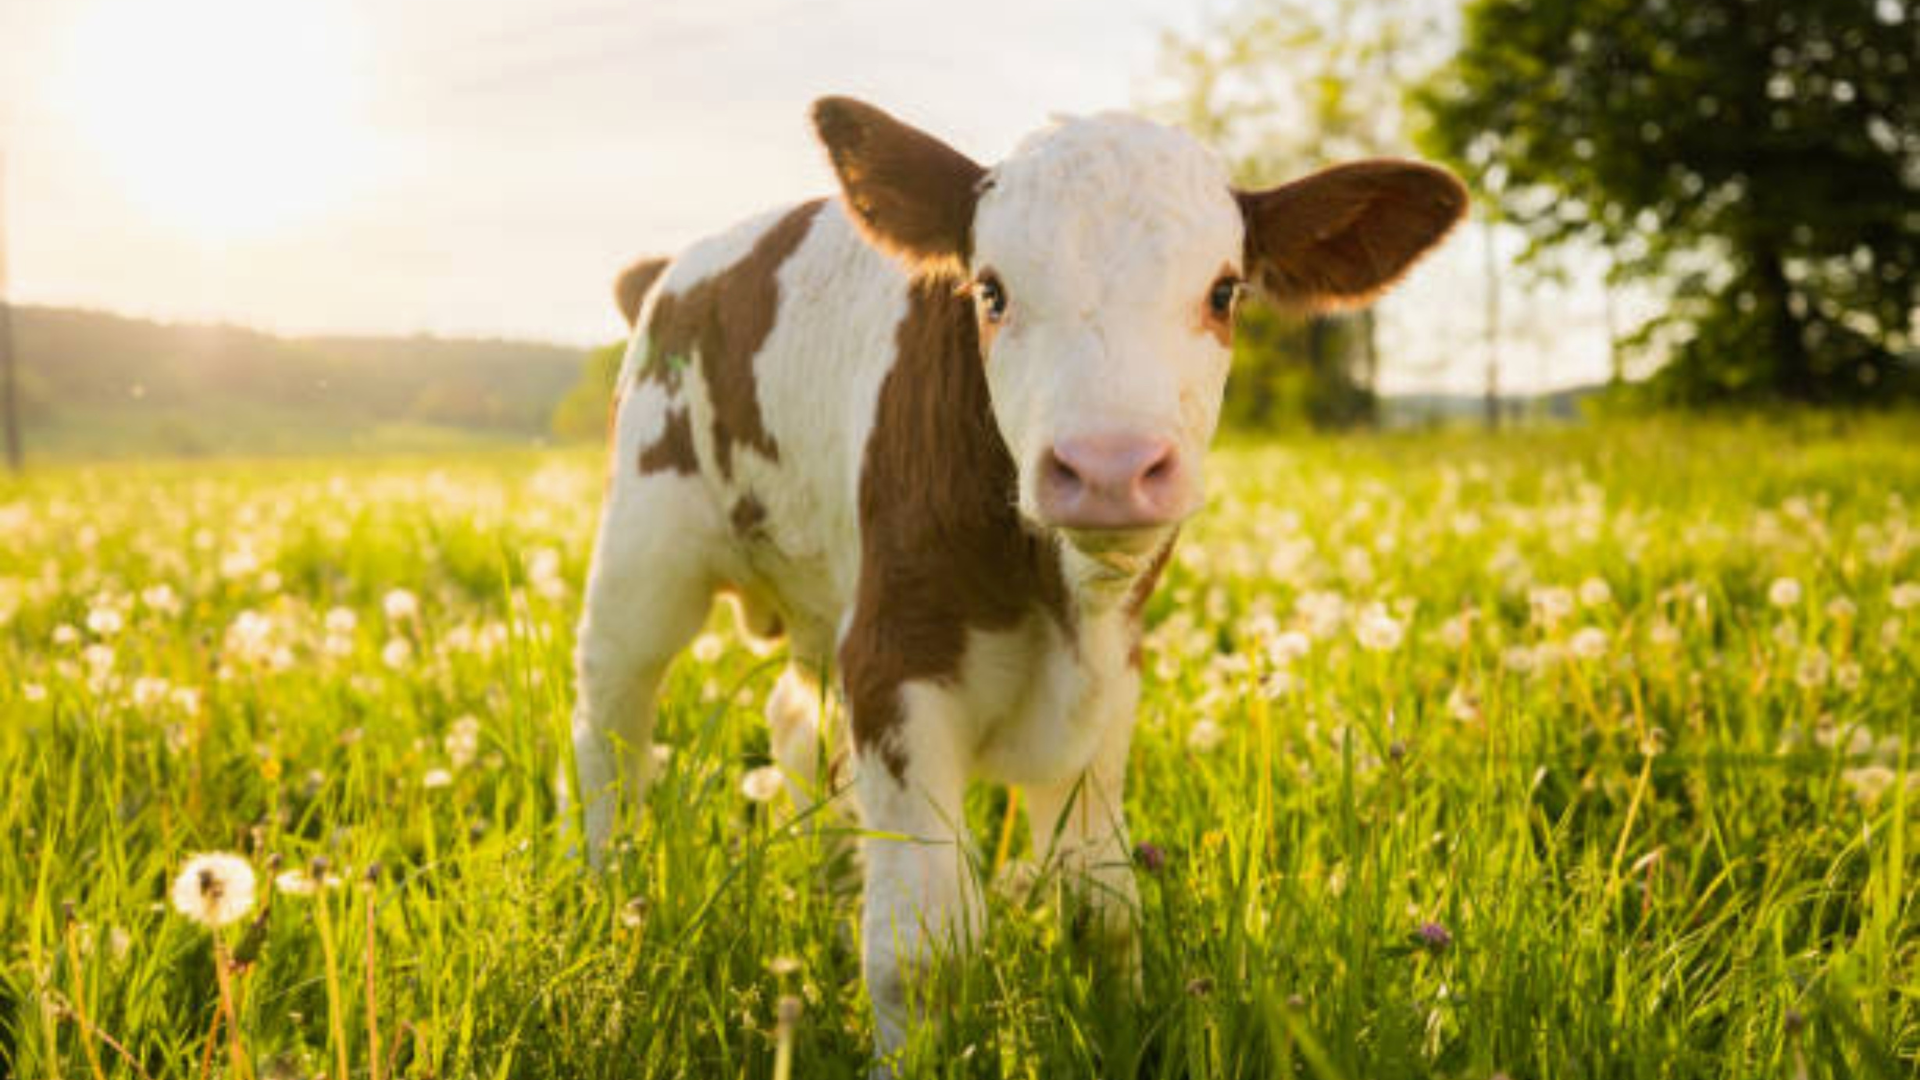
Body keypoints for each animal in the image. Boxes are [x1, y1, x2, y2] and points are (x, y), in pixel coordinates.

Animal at [570, 96, 1466, 1060]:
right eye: (991, 290)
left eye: (1225, 290)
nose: (1109, 467)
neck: (1053, 593)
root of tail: (675, 270)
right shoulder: (895, 657)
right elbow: (923, 948)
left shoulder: (1109, 672)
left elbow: (1103, 908)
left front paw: (1118, 1030)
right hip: (645, 545)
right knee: (612, 722)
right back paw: (612, 894)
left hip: (818, 598)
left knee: (796, 726)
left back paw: (835, 891)